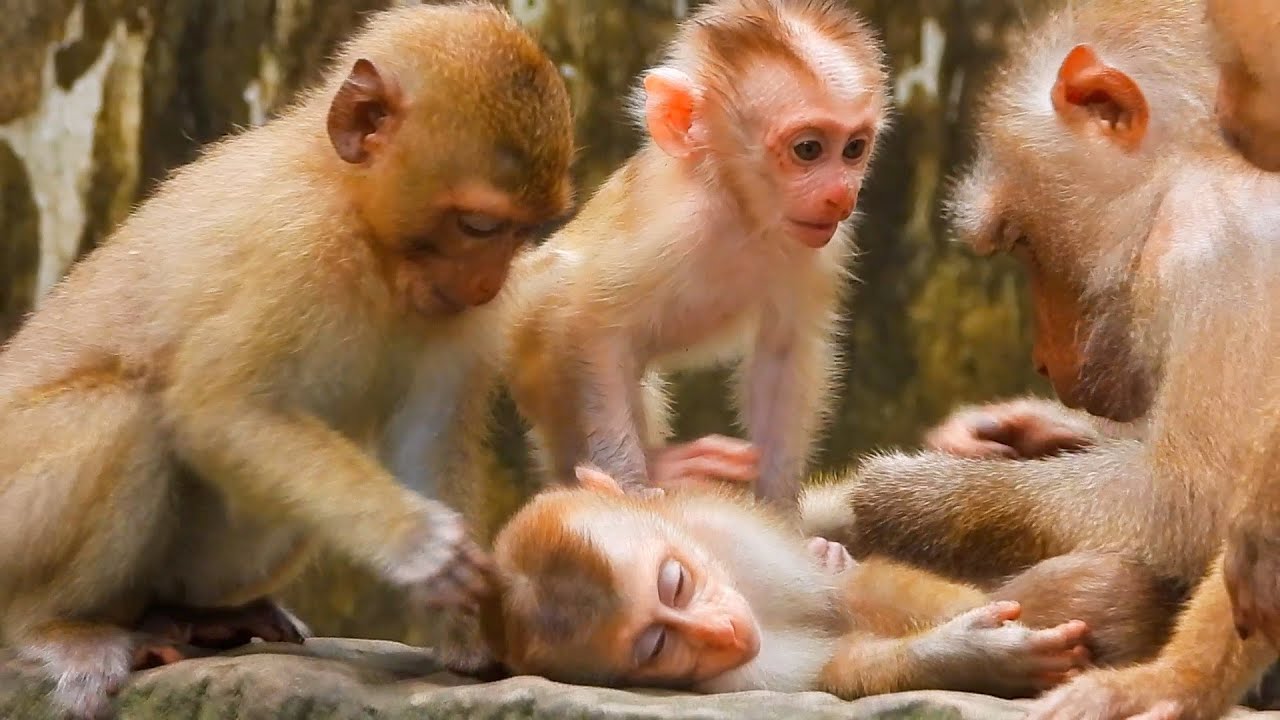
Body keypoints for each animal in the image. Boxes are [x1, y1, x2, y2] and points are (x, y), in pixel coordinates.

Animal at [0, 5, 575, 718]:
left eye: (524, 232)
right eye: (479, 226)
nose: (490, 285)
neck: (360, 222)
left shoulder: (452, 313)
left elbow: (429, 438)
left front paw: (471, 632)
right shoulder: (294, 241)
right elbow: (214, 407)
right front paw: (416, 543)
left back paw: (194, 617)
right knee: (124, 416)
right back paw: (53, 629)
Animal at [472, 465, 1201, 701]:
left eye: (674, 582)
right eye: (656, 646)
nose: (725, 631)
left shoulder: (716, 521)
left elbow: (842, 589)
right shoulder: (739, 678)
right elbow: (840, 665)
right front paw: (969, 655)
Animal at [503, 0, 889, 509]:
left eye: (853, 149)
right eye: (808, 149)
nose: (840, 195)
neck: (740, 212)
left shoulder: (827, 244)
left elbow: (783, 352)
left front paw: (781, 513)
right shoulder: (673, 226)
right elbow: (587, 324)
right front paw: (632, 485)